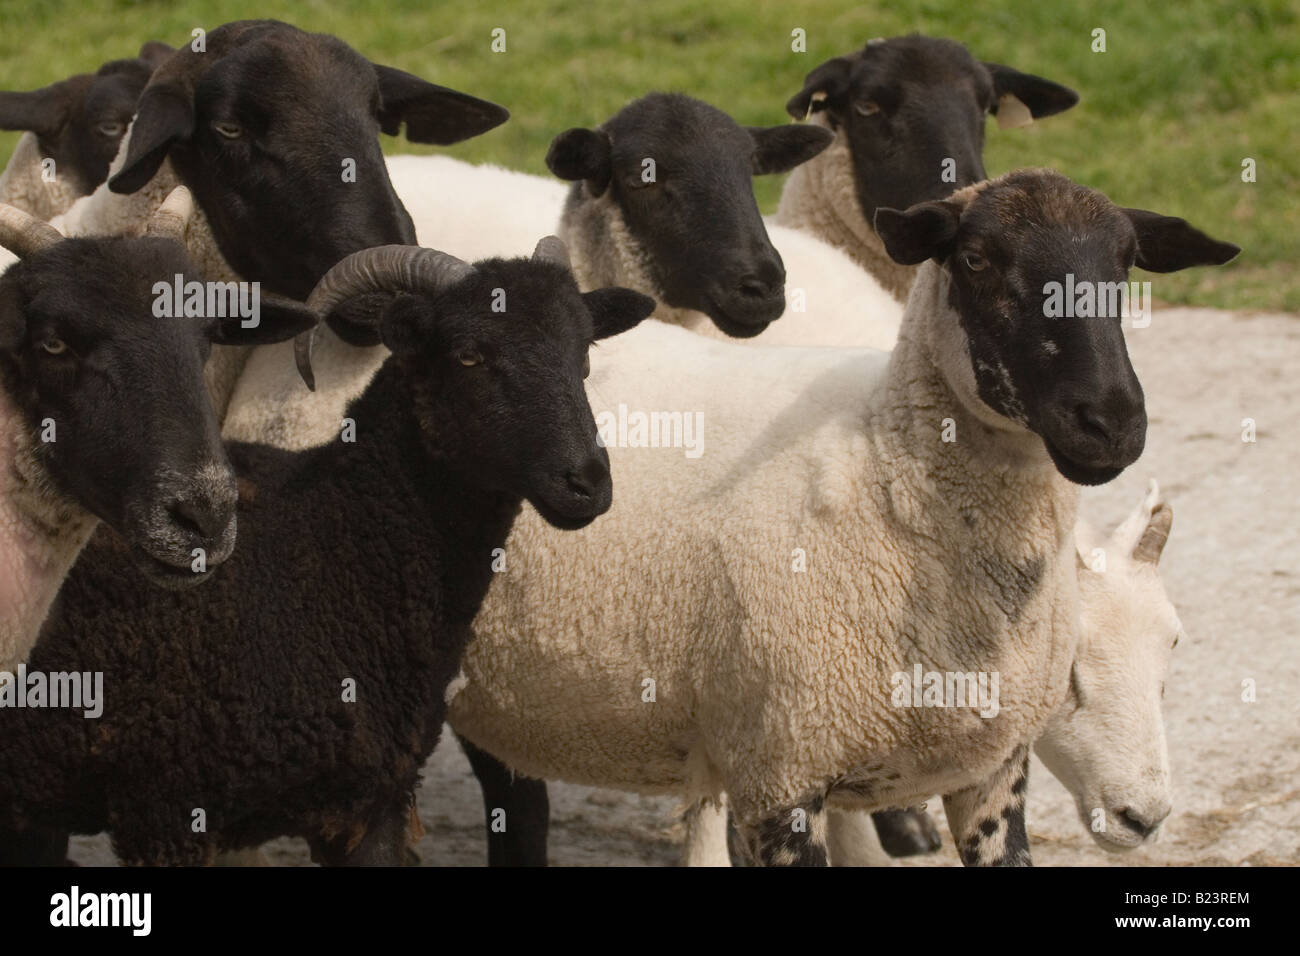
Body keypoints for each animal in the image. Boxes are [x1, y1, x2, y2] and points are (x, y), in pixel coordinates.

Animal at [0, 238, 655, 866]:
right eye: (470, 355)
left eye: (584, 353)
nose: (587, 482)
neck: (335, 546)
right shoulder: (164, 808)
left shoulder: (372, 804)